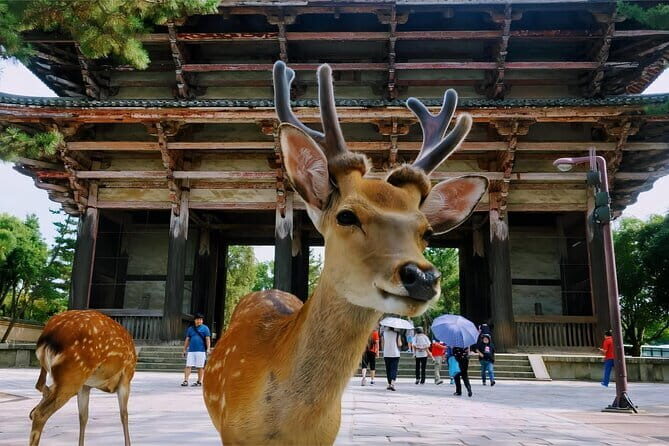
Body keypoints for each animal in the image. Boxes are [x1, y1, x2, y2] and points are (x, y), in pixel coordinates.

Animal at [29, 309, 137, 446]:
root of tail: (48, 336)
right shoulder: (126, 377)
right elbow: (124, 415)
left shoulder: (86, 385)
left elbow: (83, 417)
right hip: (73, 373)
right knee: (40, 413)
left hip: (64, 375)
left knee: (40, 387)